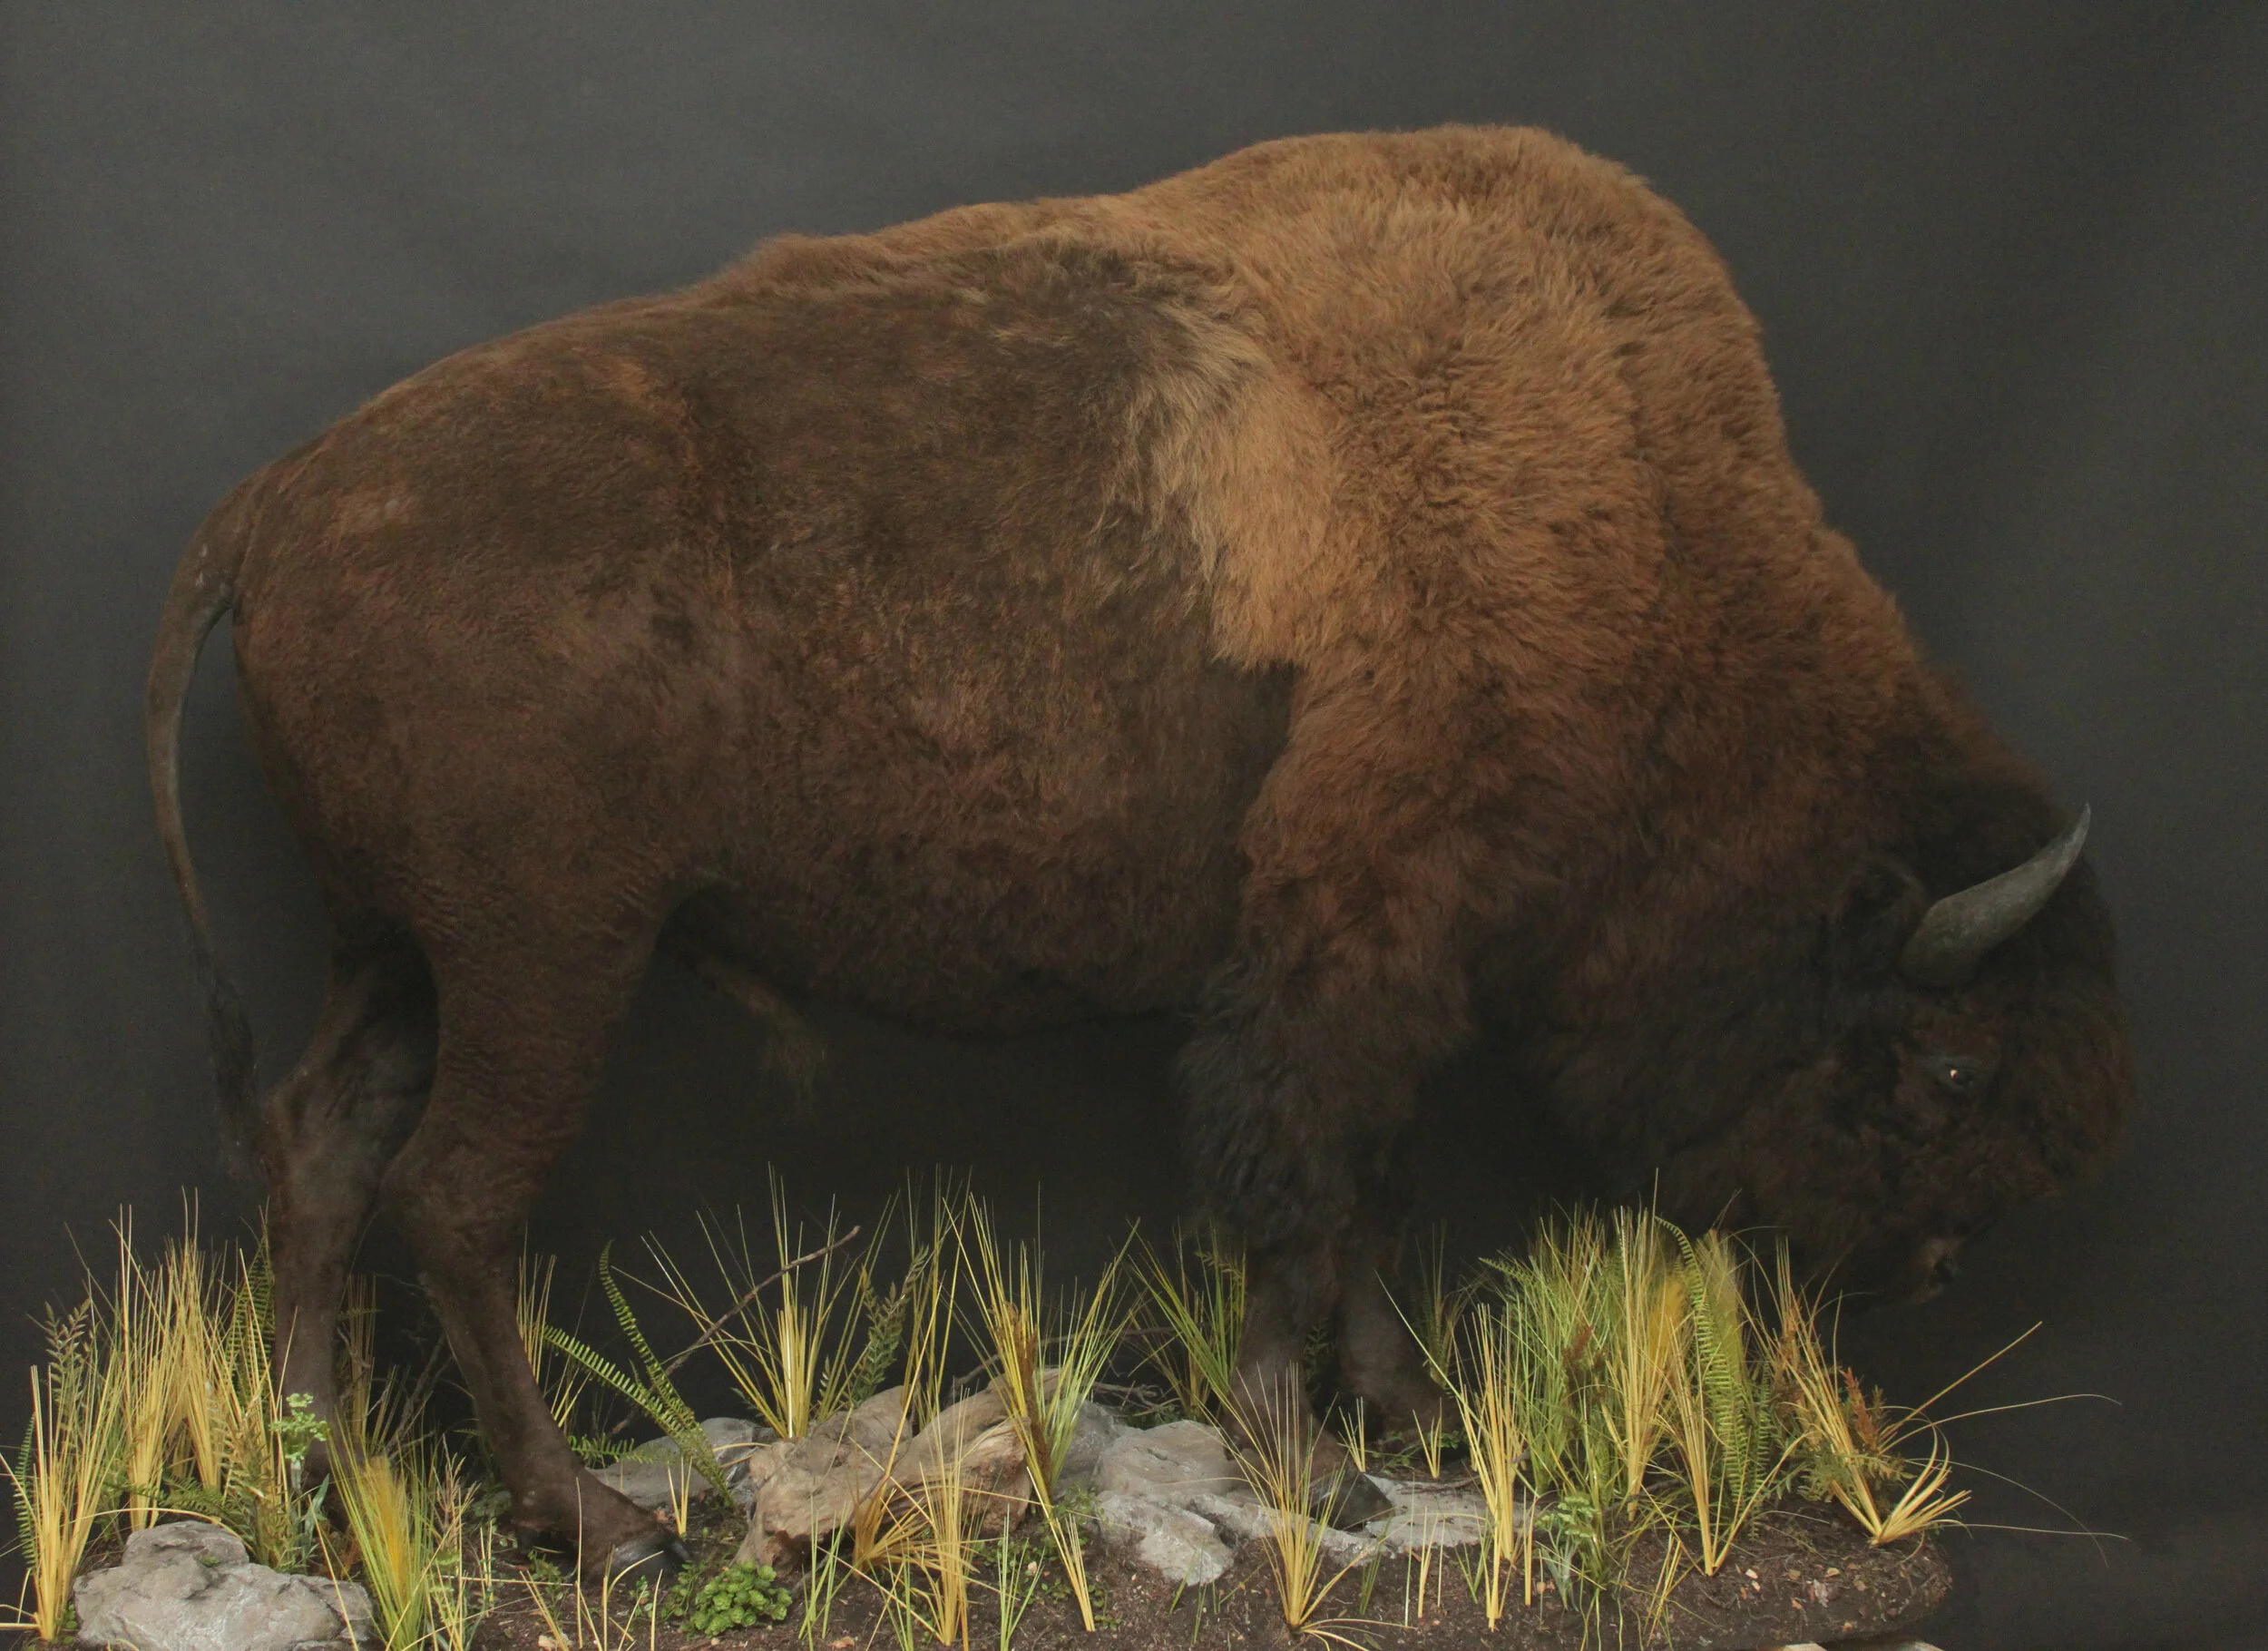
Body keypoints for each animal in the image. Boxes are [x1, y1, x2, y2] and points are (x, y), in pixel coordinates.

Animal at [148, 126, 2131, 1573]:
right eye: (1953, 1063)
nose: (1936, 1268)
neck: (1641, 532)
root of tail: (279, 500)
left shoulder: (1405, 970)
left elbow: (1378, 1195)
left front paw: (1403, 1420)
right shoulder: (1344, 947)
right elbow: (1300, 1196)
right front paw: (1302, 1463)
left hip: (401, 955)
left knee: (322, 1157)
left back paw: (313, 1478)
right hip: (543, 960)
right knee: (454, 1198)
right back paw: (600, 1525)